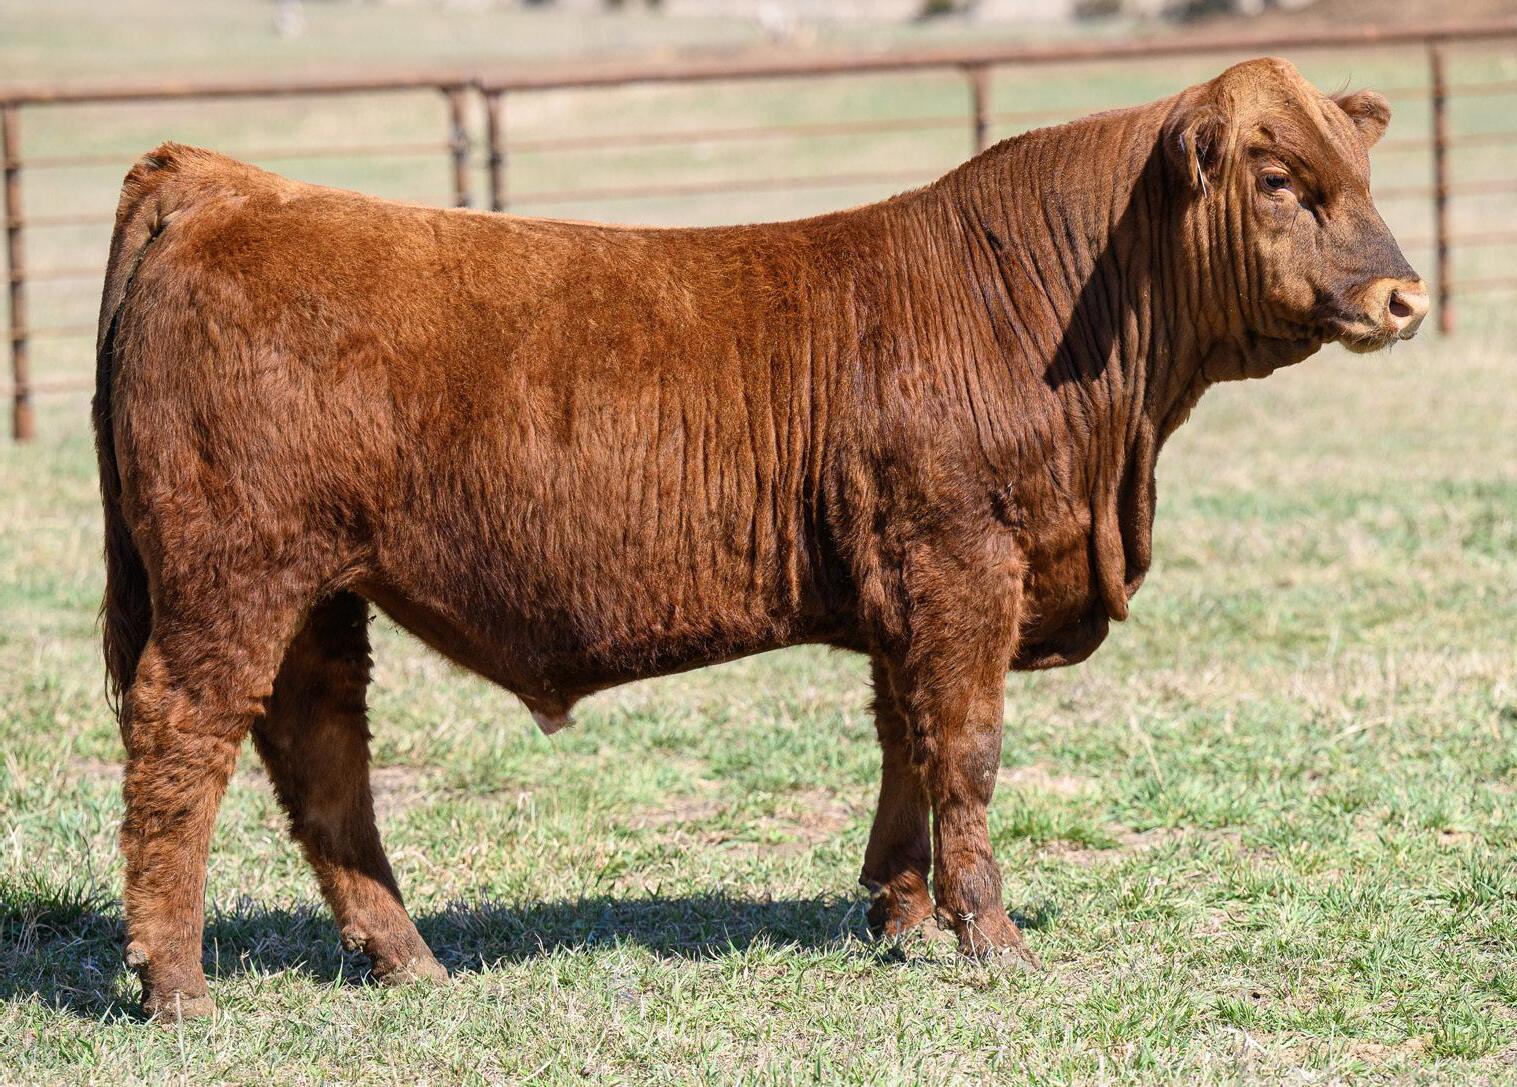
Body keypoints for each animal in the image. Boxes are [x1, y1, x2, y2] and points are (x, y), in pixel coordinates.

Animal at [93, 57, 1426, 1019]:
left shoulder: (903, 587)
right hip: (231, 579)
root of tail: (219, 177)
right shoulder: (959, 562)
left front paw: (897, 914)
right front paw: (989, 936)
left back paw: (405, 957)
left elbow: (903, 745)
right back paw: (178, 985)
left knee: (319, 754)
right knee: (182, 741)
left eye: (1359, 171)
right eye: (1276, 178)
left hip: (320, 593)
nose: (1402, 294)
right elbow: (966, 749)